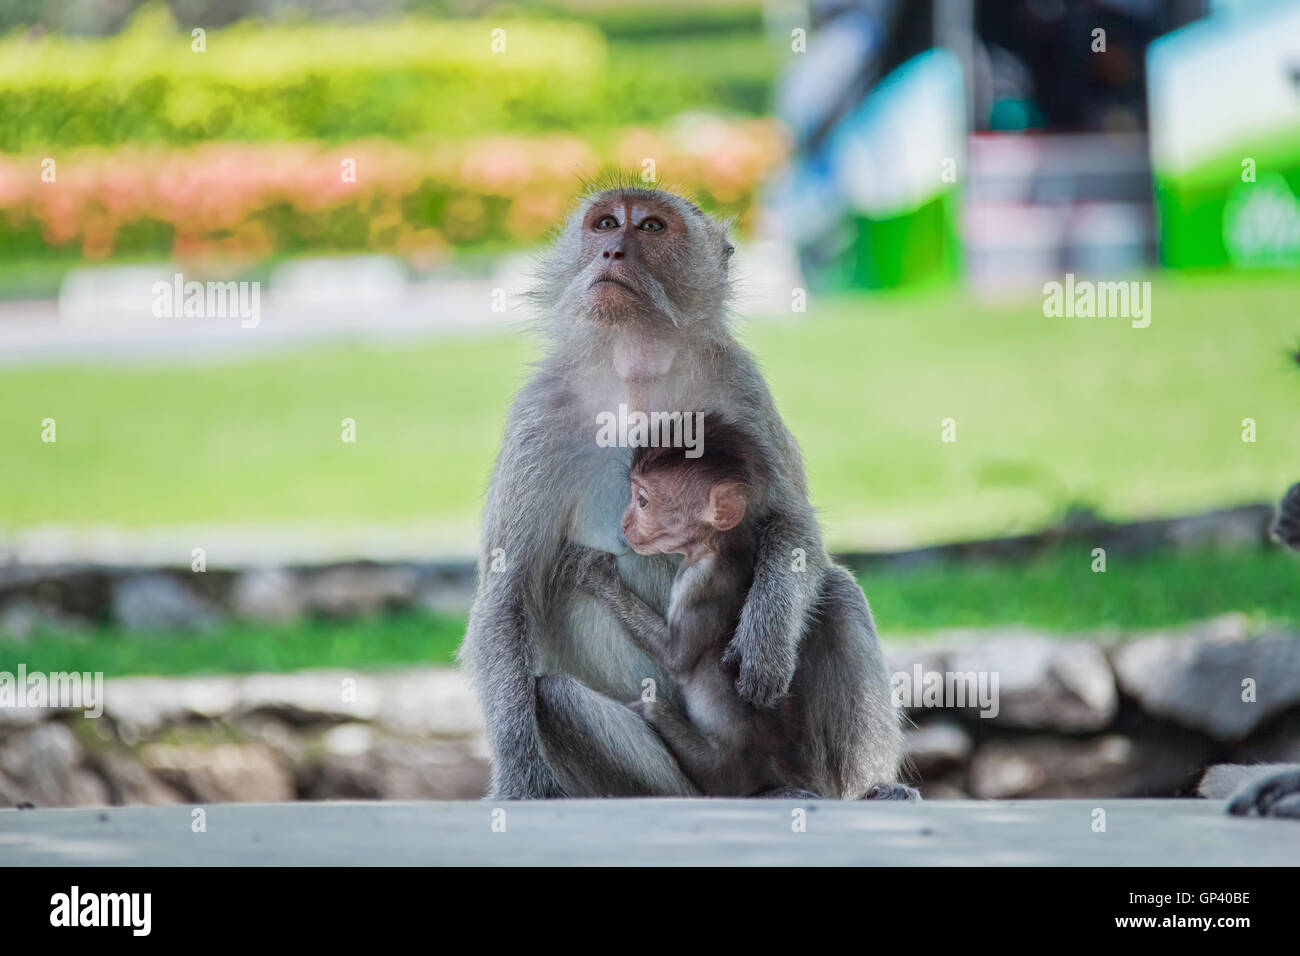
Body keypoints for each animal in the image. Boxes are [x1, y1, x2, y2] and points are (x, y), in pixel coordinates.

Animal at [565, 415, 914, 798]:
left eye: (642, 501)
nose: (624, 521)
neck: (720, 545)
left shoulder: (699, 580)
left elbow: (677, 654)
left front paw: (600, 576)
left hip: (726, 768)